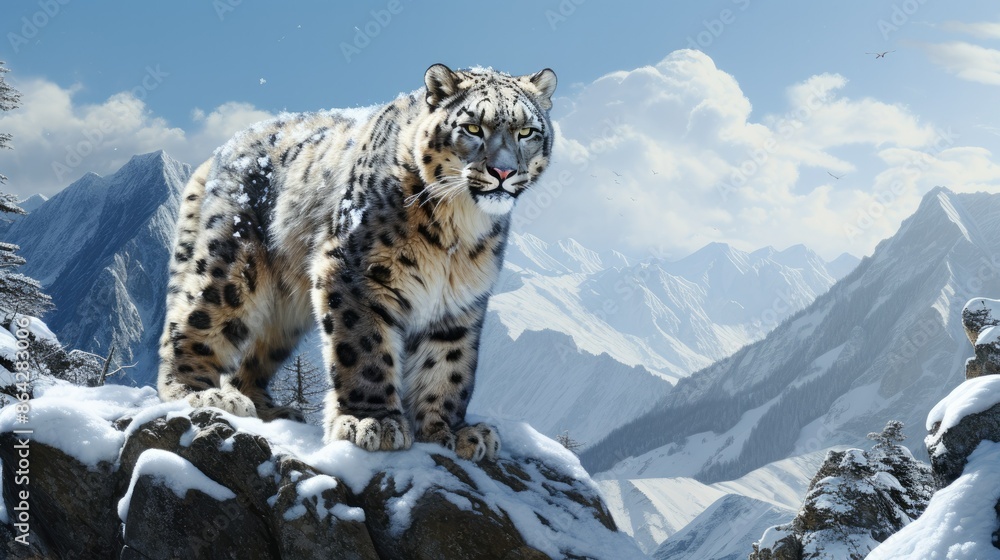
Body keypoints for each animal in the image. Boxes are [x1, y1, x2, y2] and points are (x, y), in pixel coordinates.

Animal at [157, 64, 556, 462]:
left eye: (526, 132)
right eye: (473, 127)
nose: (503, 172)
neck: (458, 230)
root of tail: (223, 149)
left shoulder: (459, 301)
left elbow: (450, 365)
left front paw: (451, 431)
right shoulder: (354, 270)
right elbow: (365, 345)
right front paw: (373, 421)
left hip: (284, 313)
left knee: (253, 355)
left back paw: (269, 409)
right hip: (233, 263)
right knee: (195, 320)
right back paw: (201, 393)